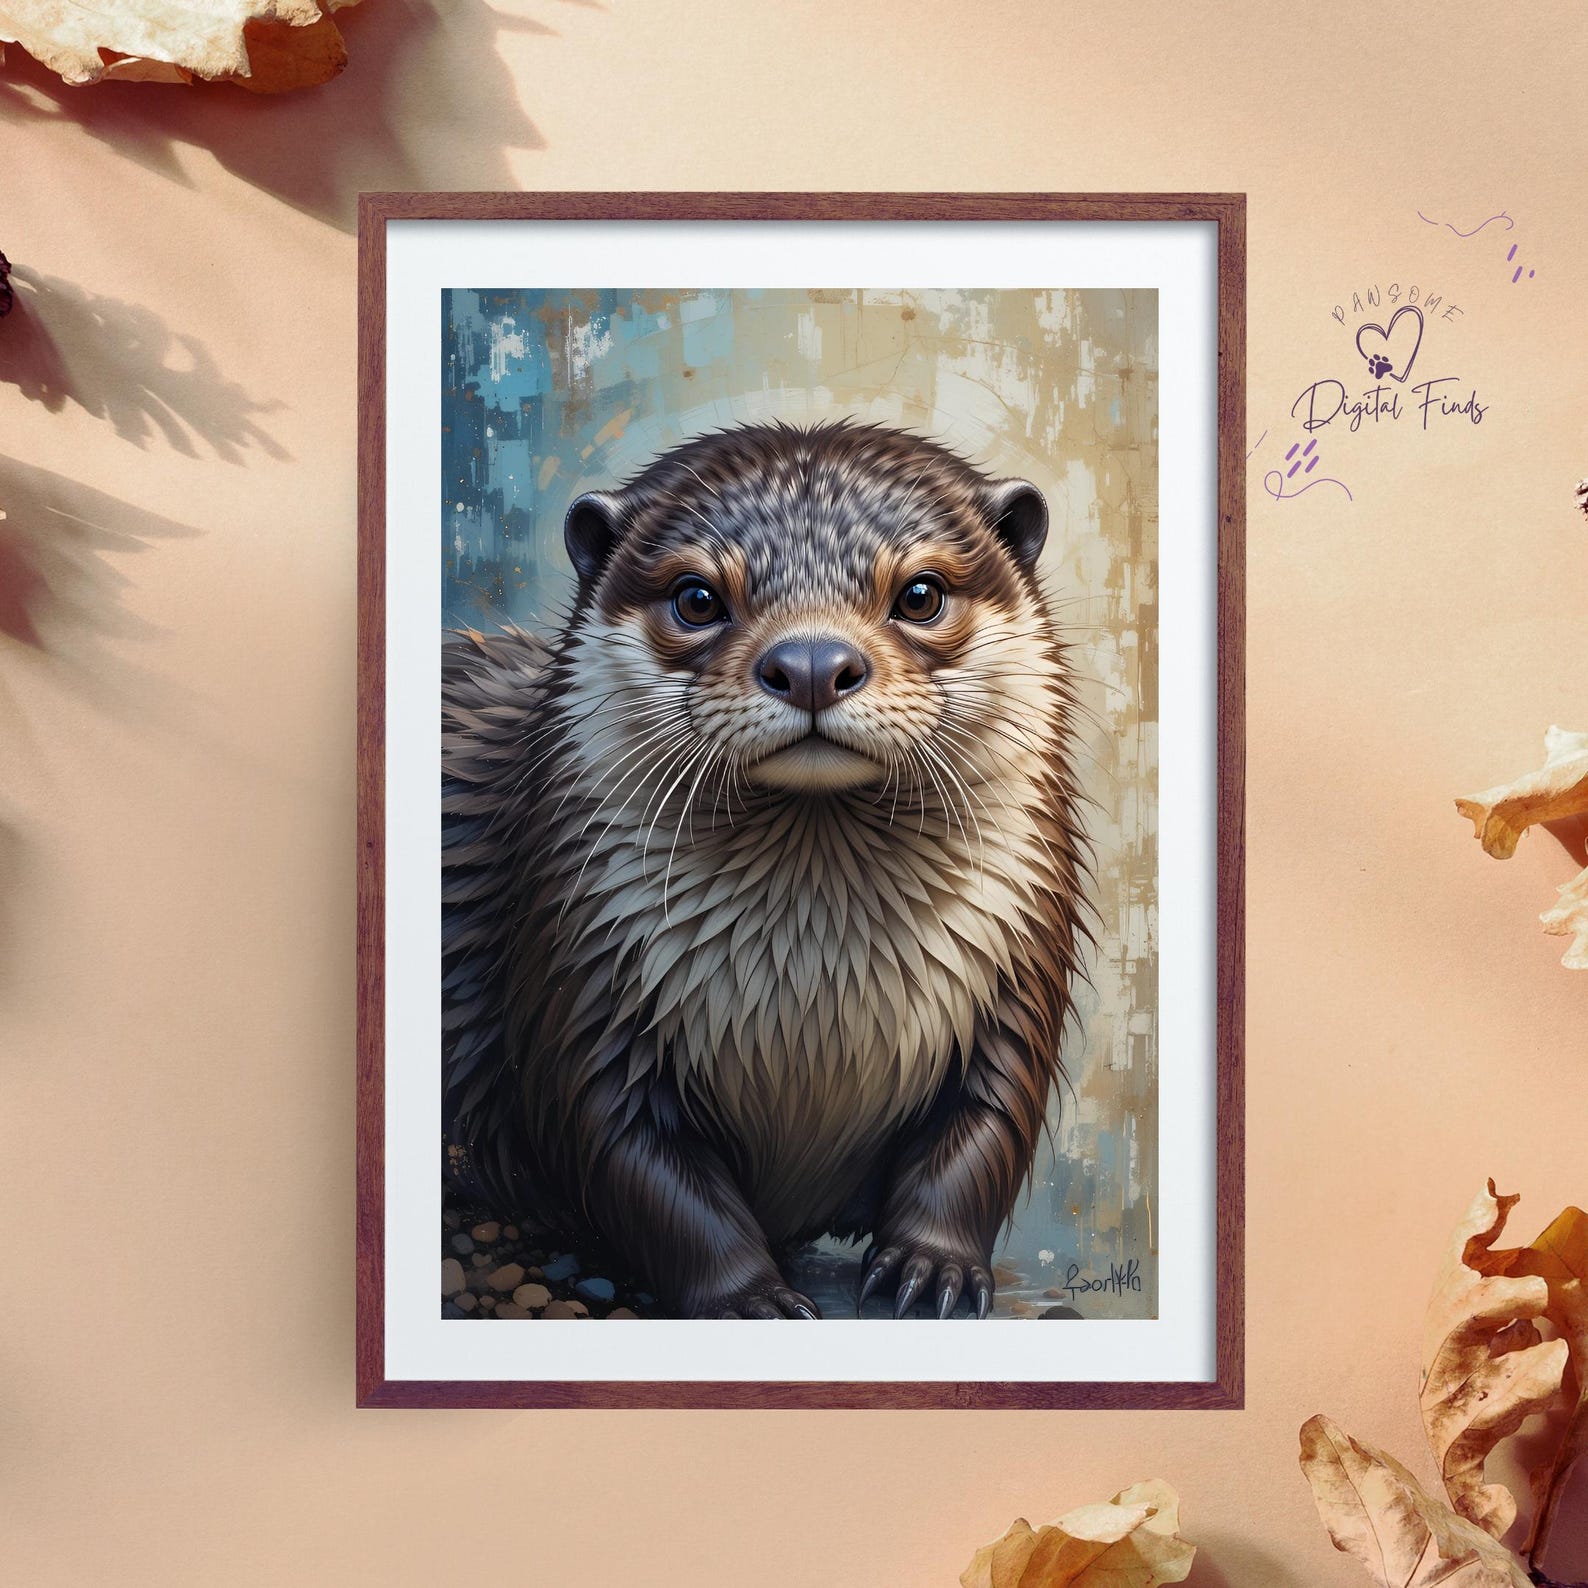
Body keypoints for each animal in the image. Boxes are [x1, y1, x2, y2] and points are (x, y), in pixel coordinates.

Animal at [443, 420, 1089, 1319]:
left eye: (921, 595)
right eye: (696, 599)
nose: (813, 663)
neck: (817, 1013)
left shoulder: (1015, 974)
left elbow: (981, 1129)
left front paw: (935, 1268)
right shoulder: (577, 982)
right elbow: (641, 1167)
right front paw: (747, 1298)